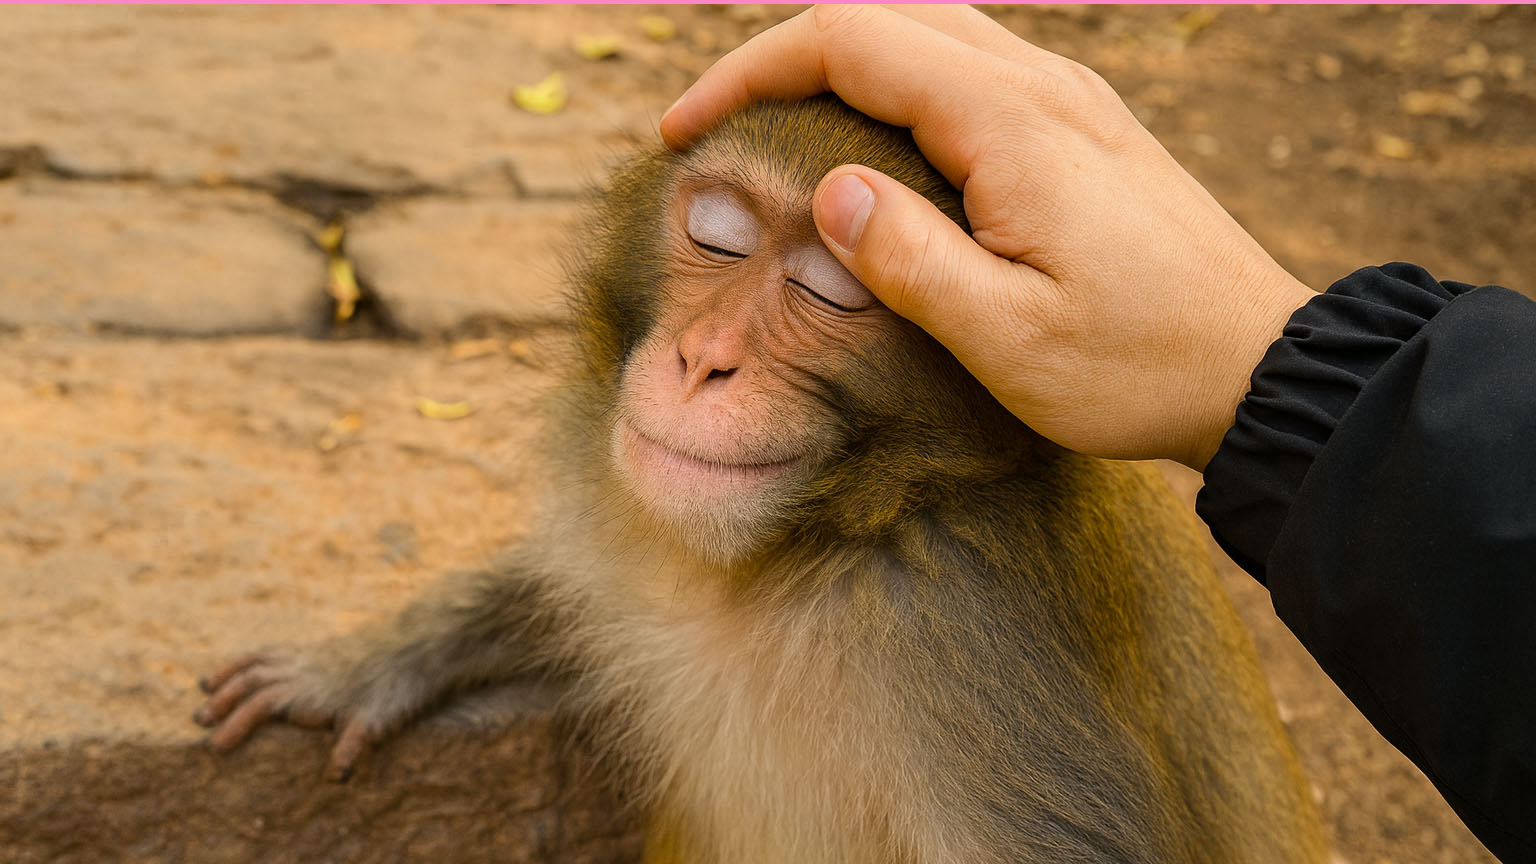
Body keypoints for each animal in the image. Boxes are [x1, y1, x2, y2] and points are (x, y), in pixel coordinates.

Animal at [193, 96, 1328, 863]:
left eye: (831, 290)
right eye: (716, 237)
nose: (704, 359)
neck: (793, 553)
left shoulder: (969, 620)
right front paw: (367, 662)